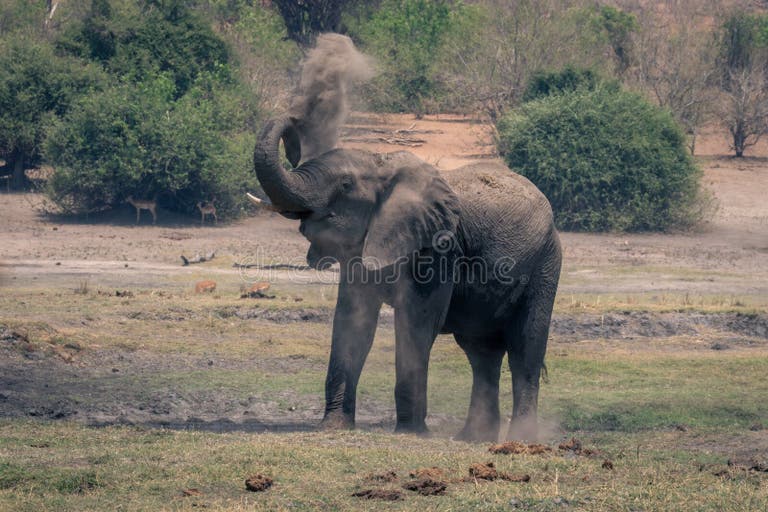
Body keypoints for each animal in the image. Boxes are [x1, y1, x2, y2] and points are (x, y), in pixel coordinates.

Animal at [252, 117, 562, 442]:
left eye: (346, 184)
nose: (293, 140)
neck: (382, 162)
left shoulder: (440, 246)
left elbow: (418, 321)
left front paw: (410, 432)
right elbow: (352, 321)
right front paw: (333, 426)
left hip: (546, 261)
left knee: (524, 349)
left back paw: (520, 439)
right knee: (481, 353)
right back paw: (472, 438)